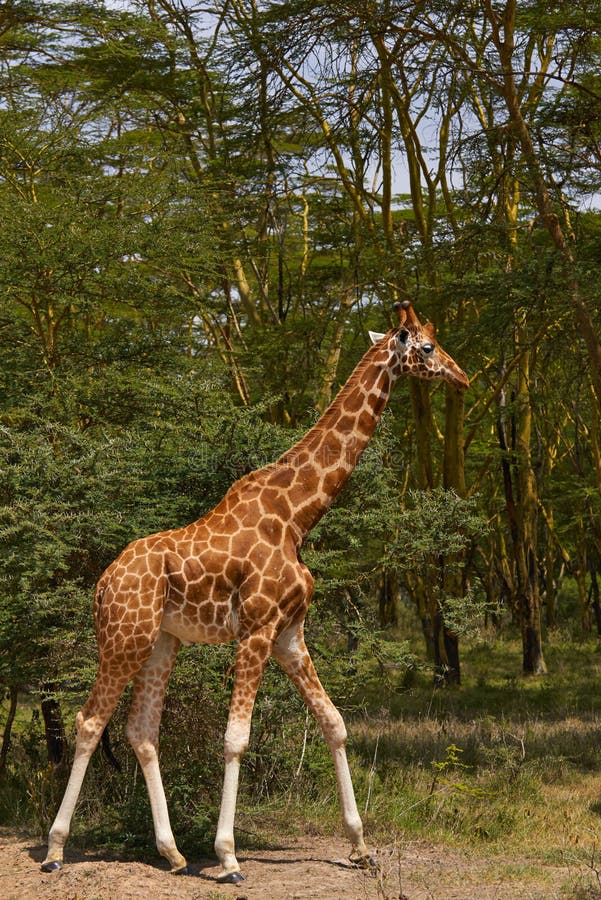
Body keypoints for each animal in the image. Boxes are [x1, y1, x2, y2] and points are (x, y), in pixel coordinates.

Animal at [42, 300, 468, 883]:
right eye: (426, 346)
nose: (462, 377)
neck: (298, 516)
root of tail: (103, 585)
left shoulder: (289, 633)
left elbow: (334, 723)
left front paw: (361, 846)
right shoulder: (257, 630)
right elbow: (236, 738)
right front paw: (228, 856)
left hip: (162, 641)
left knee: (141, 730)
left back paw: (172, 853)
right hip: (125, 638)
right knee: (89, 723)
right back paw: (56, 850)